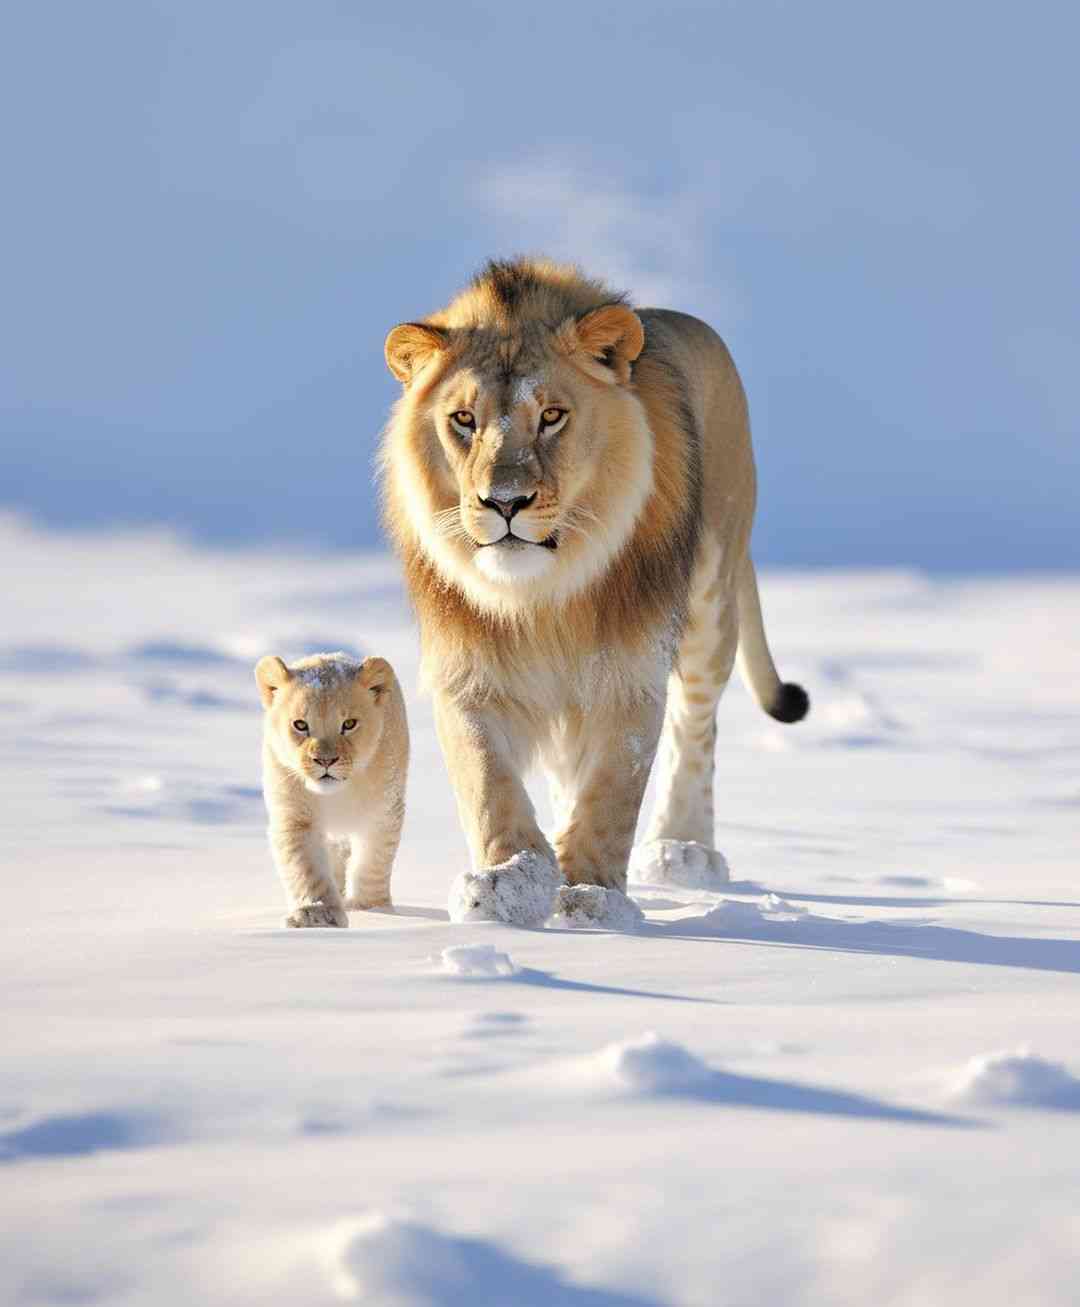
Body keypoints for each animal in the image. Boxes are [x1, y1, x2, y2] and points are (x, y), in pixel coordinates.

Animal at [255, 652, 408, 927]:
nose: (325, 760)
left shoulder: (383, 812)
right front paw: (317, 915)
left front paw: (371, 910)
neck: (337, 796)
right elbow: (306, 867)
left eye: (349, 724)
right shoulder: (295, 815)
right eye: (300, 724)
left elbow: (373, 863)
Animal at [380, 258, 807, 928]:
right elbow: (487, 782)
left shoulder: (628, 670)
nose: (505, 502)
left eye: (552, 415)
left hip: (712, 594)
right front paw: (509, 884)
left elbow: (612, 791)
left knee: (696, 726)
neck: (541, 594)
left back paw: (682, 853)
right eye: (464, 420)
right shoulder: (467, 670)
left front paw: (593, 899)